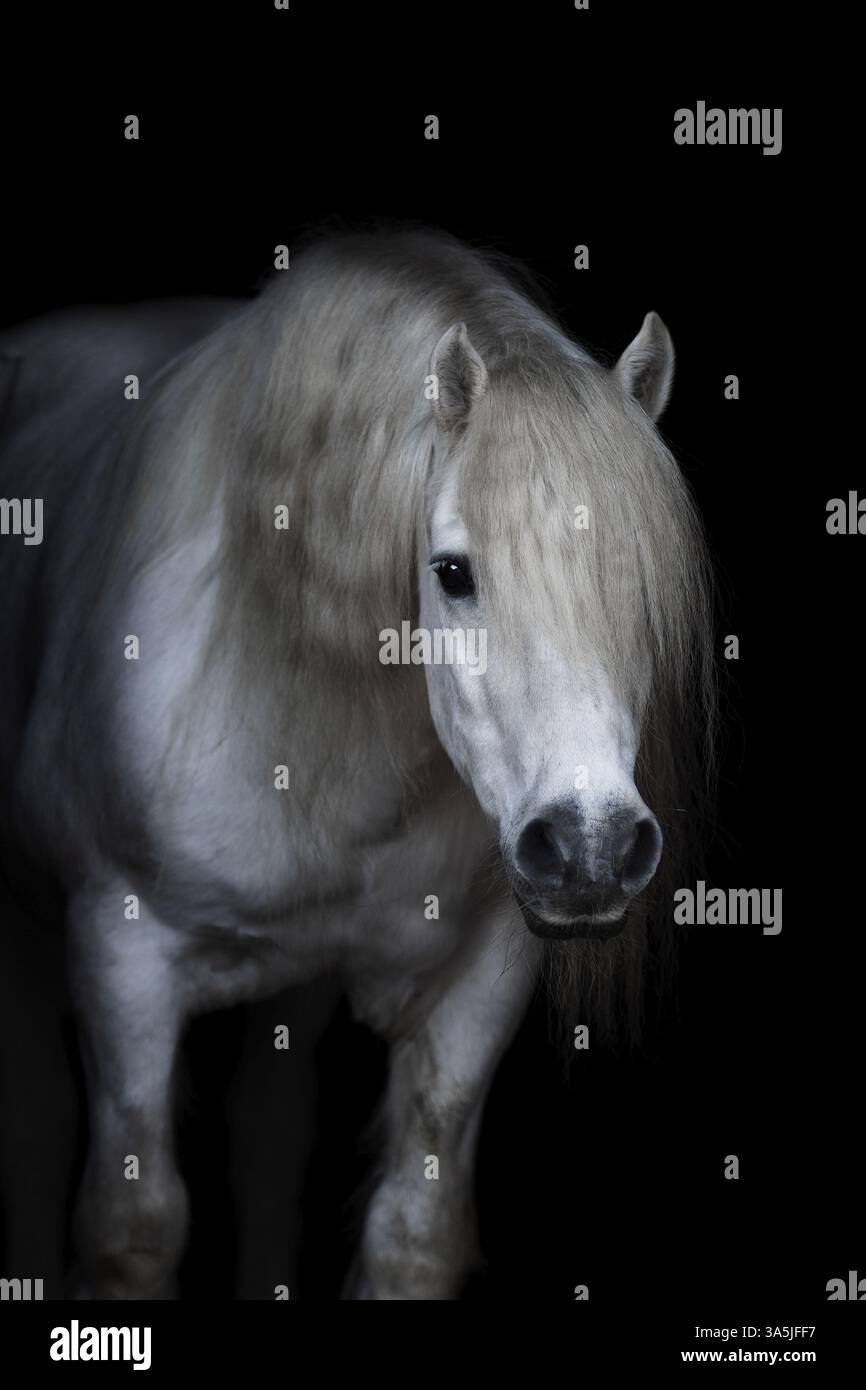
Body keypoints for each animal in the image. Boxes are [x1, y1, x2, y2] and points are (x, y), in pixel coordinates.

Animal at [0, 228, 716, 1300]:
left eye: (641, 586)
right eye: (452, 573)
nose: (588, 850)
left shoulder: (480, 977)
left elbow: (409, 1229)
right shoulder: (121, 958)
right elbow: (132, 1227)